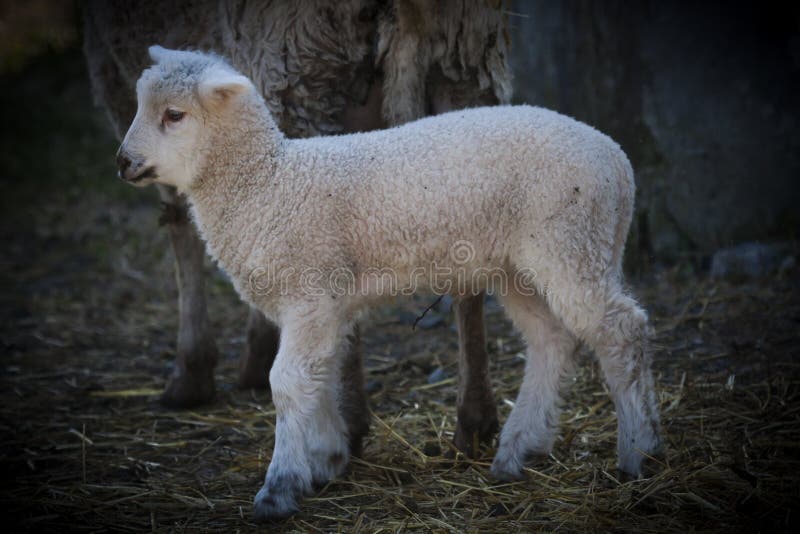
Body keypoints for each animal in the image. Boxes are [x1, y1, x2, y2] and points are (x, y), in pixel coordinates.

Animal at [84, 0, 509, 456]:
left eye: (174, 114)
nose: (122, 162)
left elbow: (181, 231)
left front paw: (192, 373)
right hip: (463, 69)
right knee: (470, 279)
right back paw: (474, 422)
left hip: (305, 70)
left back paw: (345, 420)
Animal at [117, 47, 662, 520]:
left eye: (174, 115)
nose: (122, 162)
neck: (269, 182)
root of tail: (618, 161)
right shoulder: (326, 302)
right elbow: (322, 376)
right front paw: (326, 460)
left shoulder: (309, 292)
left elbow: (288, 384)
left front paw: (279, 488)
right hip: (520, 264)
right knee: (551, 340)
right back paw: (515, 452)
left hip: (571, 241)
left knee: (622, 331)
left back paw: (639, 454)